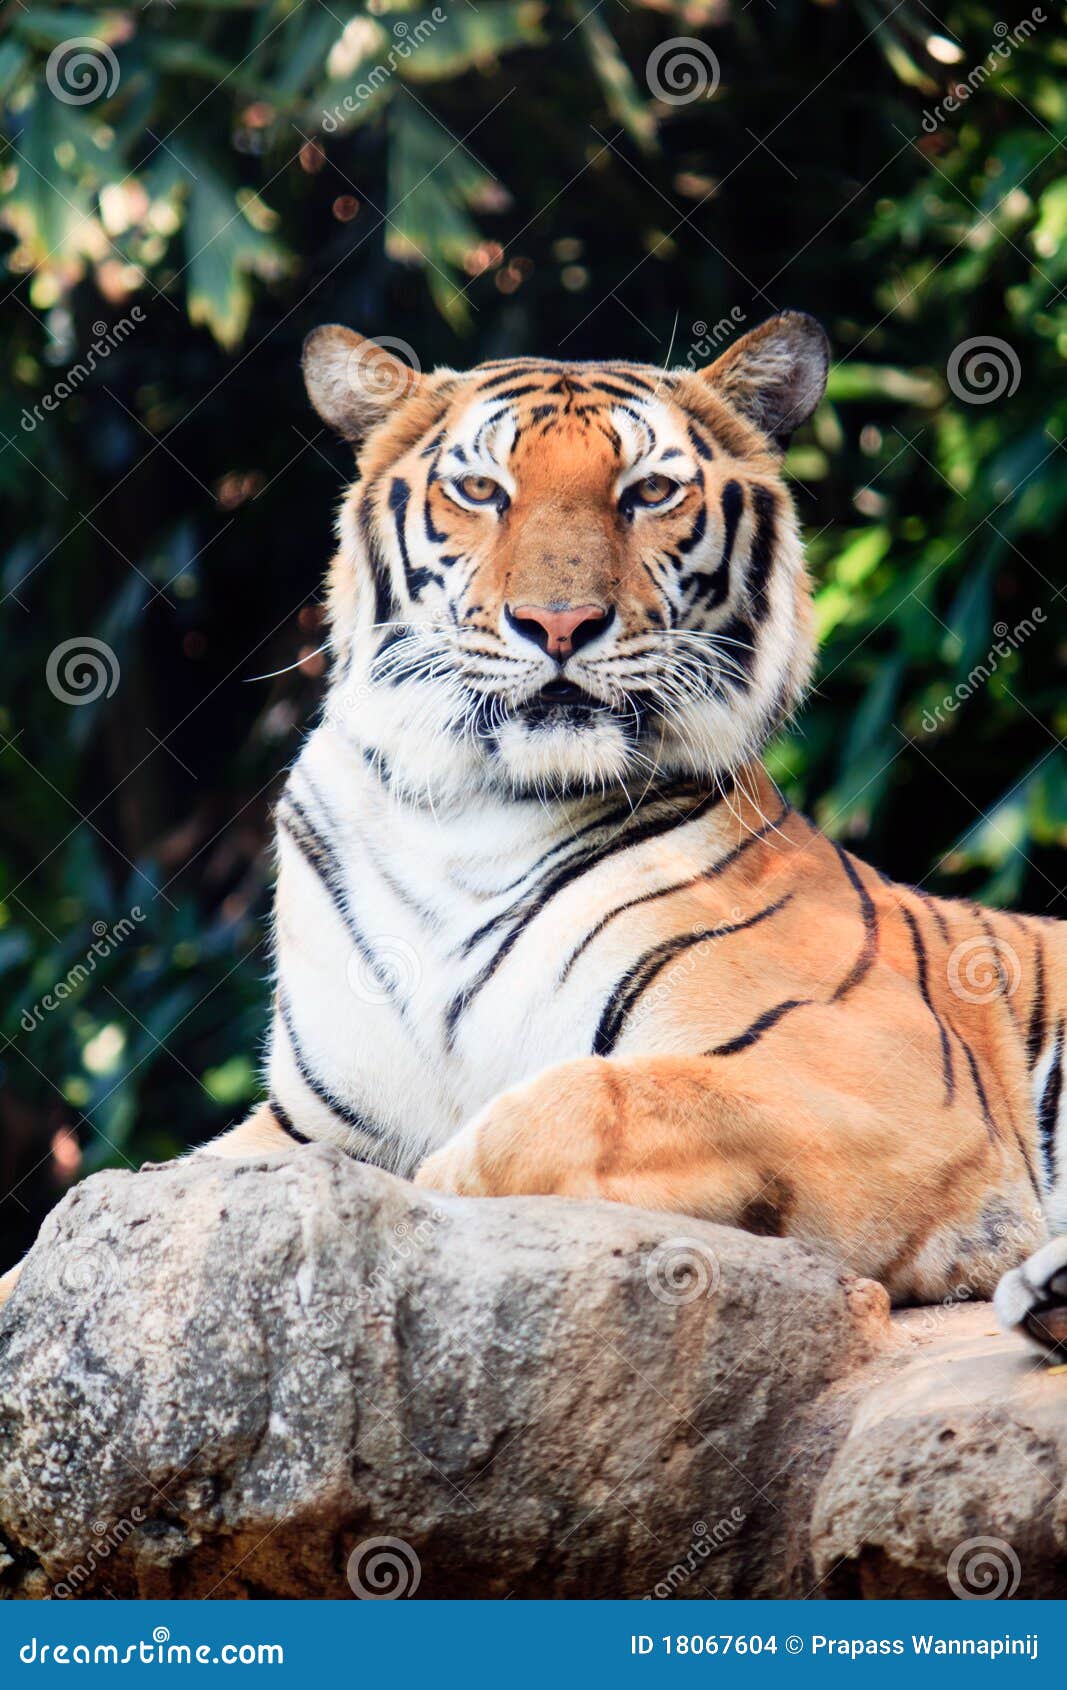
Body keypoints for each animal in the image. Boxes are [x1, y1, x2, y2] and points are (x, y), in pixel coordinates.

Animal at [2, 312, 1065, 1351]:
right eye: (480, 489)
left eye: (648, 491)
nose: (559, 624)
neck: (469, 814)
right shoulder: (305, 1123)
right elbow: (111, 1212)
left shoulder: (885, 1082)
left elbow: (568, 1104)